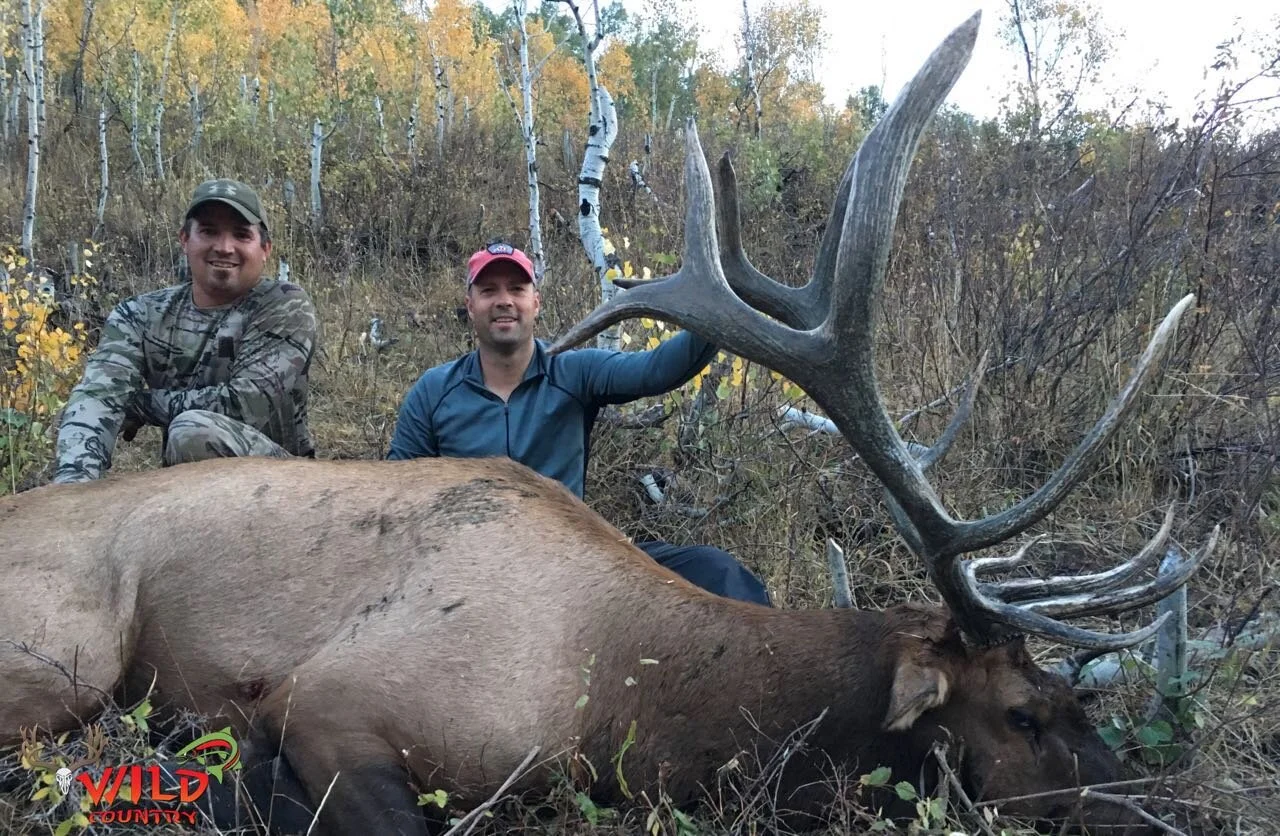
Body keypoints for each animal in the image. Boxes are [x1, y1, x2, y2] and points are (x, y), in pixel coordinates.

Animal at [1, 11, 1216, 836]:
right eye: (1022, 714)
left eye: (1072, 692)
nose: (1150, 800)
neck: (629, 692)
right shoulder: (333, 699)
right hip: (69, 653)